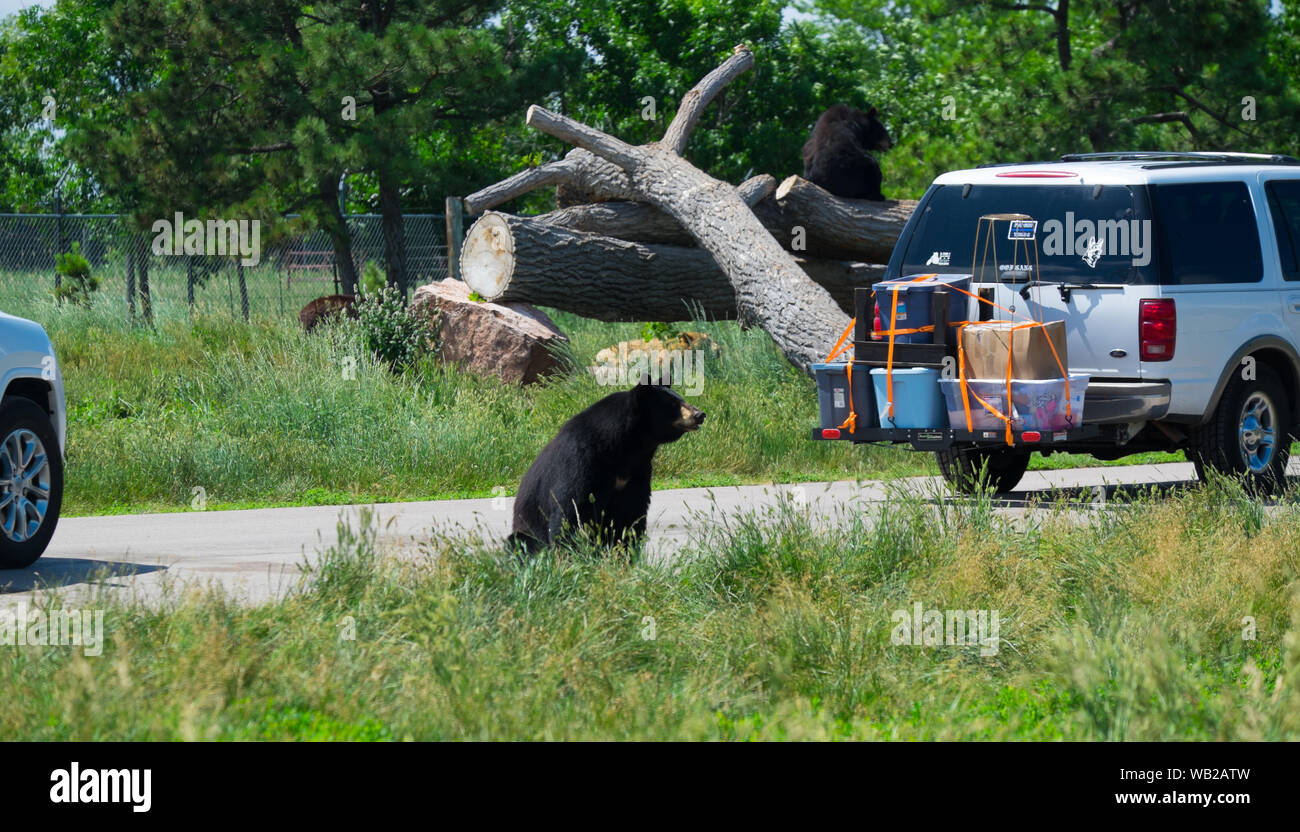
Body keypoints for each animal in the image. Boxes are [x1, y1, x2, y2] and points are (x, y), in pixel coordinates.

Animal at [507, 374, 705, 554]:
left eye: (681, 398)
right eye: (672, 404)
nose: (699, 414)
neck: (626, 447)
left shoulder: (637, 471)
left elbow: (630, 514)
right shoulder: (579, 459)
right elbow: (570, 509)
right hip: (525, 533)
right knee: (520, 543)